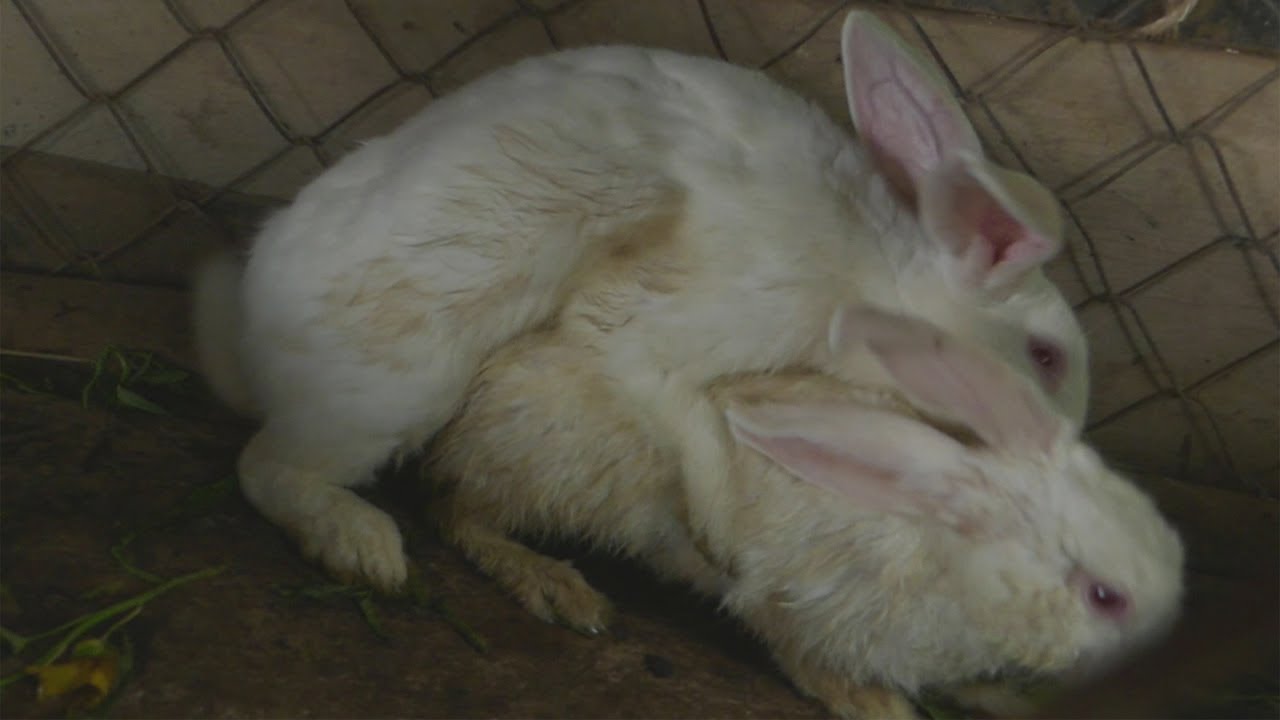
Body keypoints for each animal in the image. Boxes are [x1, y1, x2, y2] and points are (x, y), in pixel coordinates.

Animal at [193, 10, 1089, 590]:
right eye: (1046, 358)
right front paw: (719, 537)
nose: (1051, 446)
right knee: (266, 468)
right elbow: (684, 416)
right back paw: (363, 547)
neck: (876, 276)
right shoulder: (674, 326)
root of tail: (246, 343)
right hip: (389, 390)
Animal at [427, 305, 1183, 719]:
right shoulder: (798, 608)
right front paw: (877, 707)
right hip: (545, 468)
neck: (955, 559)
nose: (1165, 644)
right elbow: (801, 657)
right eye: (1105, 597)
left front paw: (1001, 701)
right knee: (460, 512)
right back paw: (556, 587)